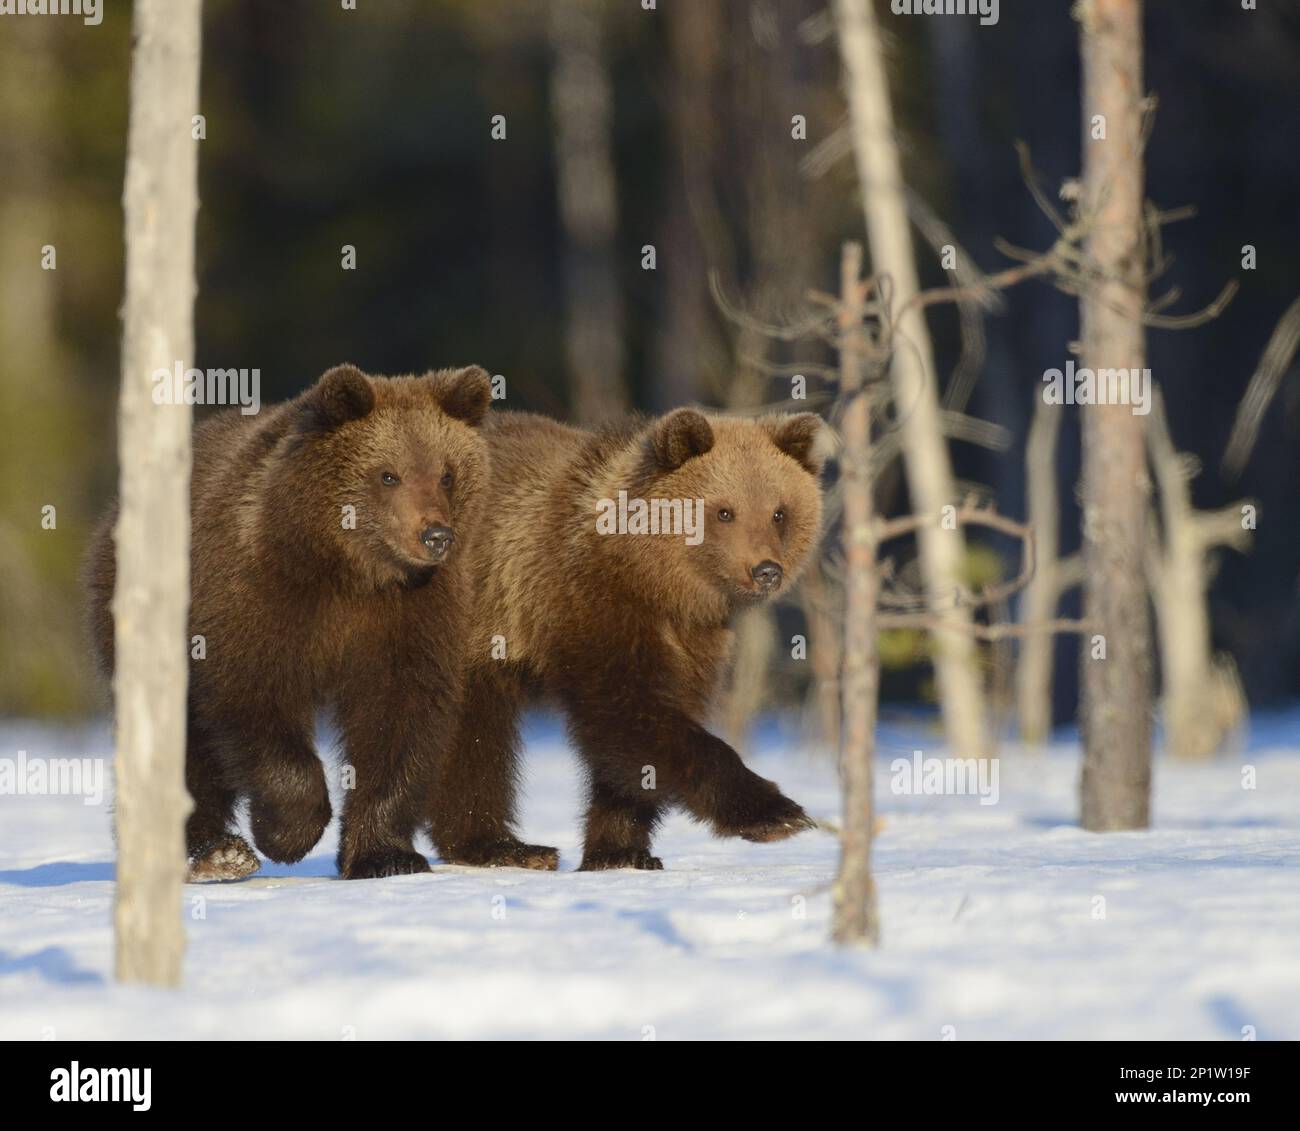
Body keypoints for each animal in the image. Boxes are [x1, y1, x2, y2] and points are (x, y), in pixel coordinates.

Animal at [86, 363, 496, 881]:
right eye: (388, 474)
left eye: (446, 474)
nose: (436, 536)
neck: (349, 569)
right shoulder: (257, 591)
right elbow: (253, 695)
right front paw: (286, 833)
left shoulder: (412, 613)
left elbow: (400, 713)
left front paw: (385, 855)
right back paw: (215, 852)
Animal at [430, 406, 825, 871]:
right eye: (725, 512)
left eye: (779, 513)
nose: (765, 570)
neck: (650, 580)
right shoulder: (586, 606)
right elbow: (627, 714)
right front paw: (777, 813)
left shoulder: (692, 639)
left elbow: (641, 744)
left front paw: (620, 851)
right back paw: (506, 848)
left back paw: (499, 846)